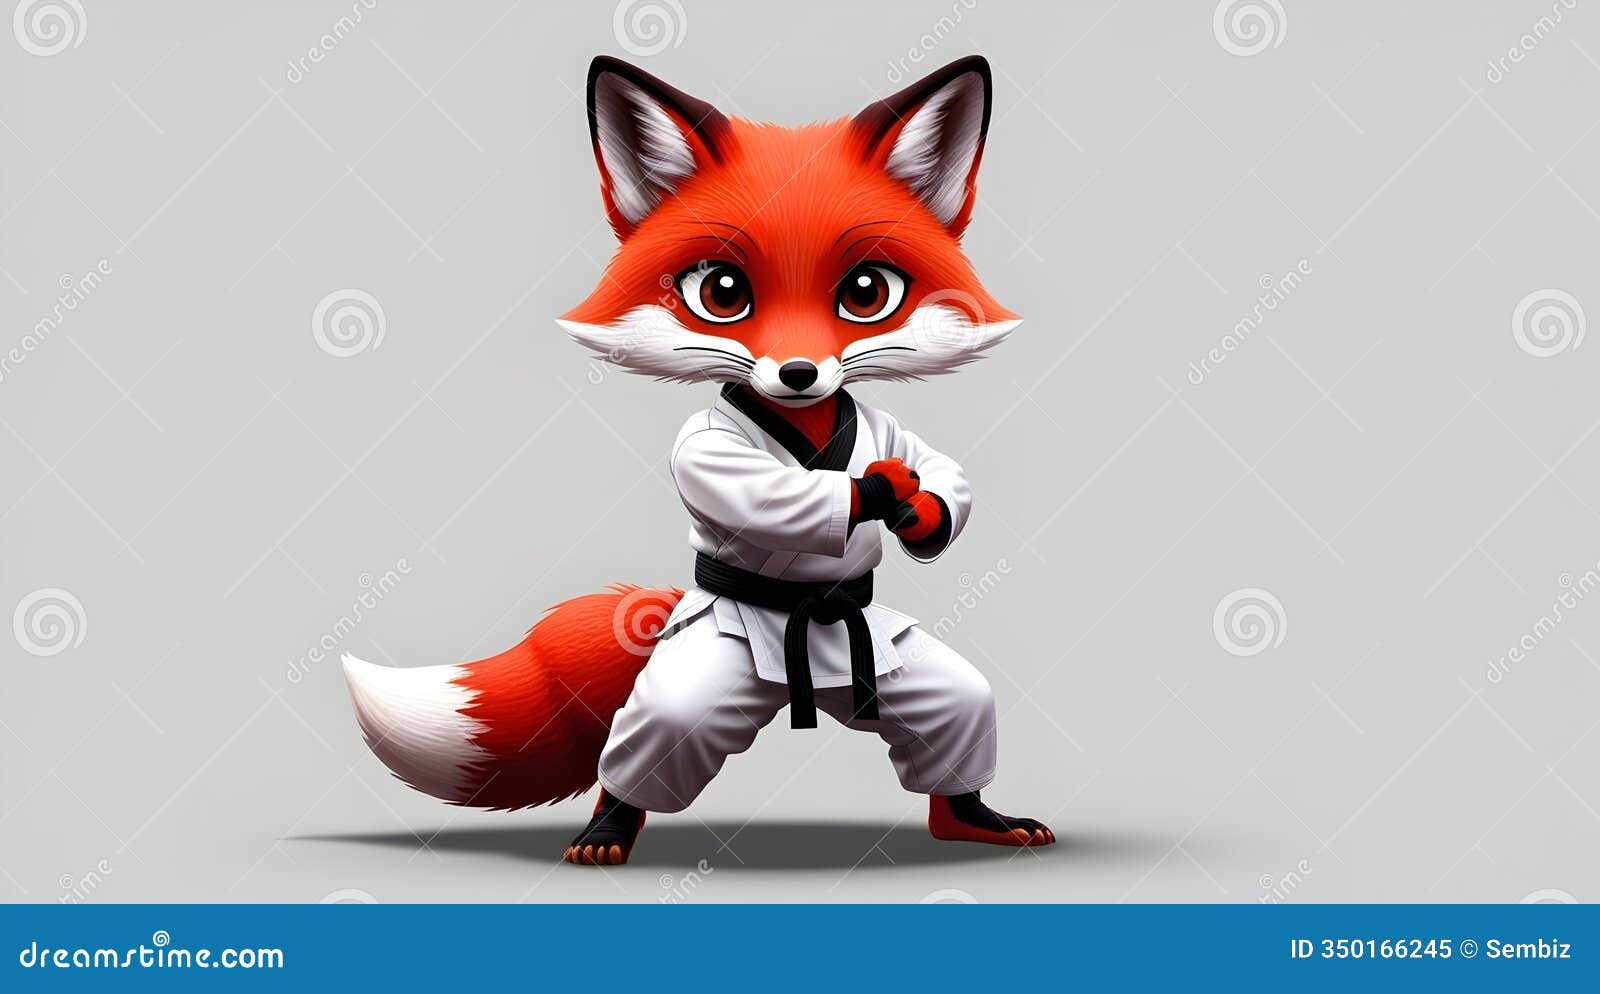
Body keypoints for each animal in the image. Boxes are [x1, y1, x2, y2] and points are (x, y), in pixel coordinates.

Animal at [342, 54, 1055, 866]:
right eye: (722, 293)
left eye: (867, 293)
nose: (799, 373)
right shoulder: (708, 448)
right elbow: (767, 490)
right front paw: (868, 493)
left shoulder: (892, 432)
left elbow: (940, 472)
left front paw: (920, 507)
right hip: (690, 696)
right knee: (644, 748)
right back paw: (606, 831)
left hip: (913, 679)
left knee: (955, 720)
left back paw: (971, 818)